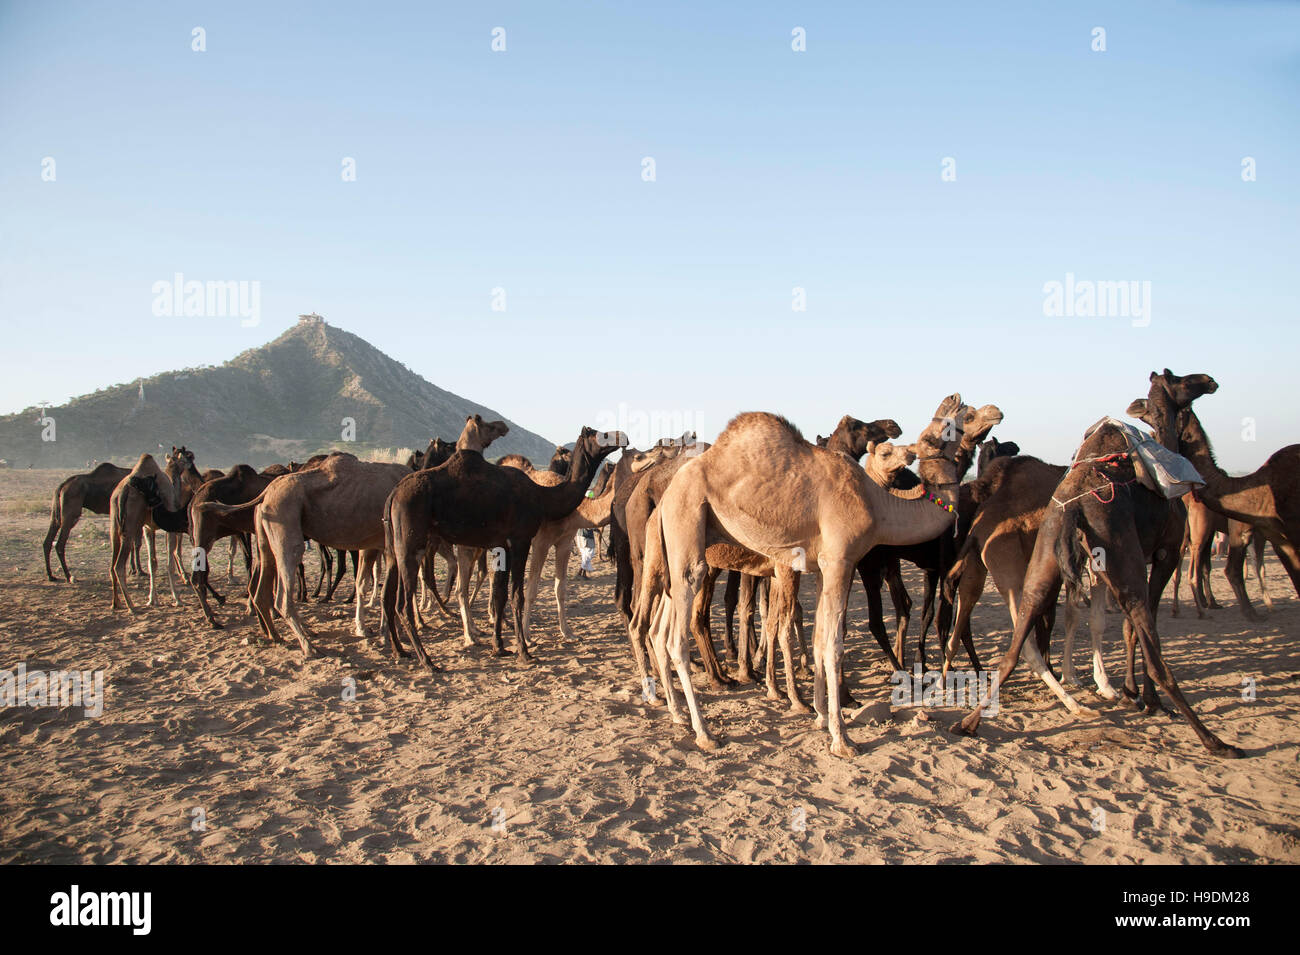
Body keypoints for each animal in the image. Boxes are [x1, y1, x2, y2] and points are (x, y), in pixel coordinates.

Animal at [380, 425, 627, 670]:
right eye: (601, 434)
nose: (623, 436)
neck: (544, 497)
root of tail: (393, 494)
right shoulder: (524, 541)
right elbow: (520, 593)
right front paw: (524, 650)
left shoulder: (512, 544)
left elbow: (503, 594)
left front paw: (500, 646)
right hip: (415, 544)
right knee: (412, 600)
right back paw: (433, 657)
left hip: (395, 548)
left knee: (391, 596)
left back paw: (402, 651)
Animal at [652, 396, 996, 756]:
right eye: (964, 417)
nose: (993, 411)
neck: (879, 505)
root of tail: (664, 498)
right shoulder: (840, 560)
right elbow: (832, 645)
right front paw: (841, 738)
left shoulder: (821, 567)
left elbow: (818, 639)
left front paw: (819, 717)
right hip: (687, 522)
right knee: (677, 635)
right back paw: (704, 732)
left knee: (660, 629)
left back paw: (678, 714)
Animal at [953, 392, 1243, 758]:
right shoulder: (1163, 554)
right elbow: (1117, 624)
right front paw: (1132, 694)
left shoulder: (1091, 568)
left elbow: (1090, 619)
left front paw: (1106, 685)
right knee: (1149, 650)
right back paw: (1211, 739)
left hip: (1029, 570)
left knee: (1010, 643)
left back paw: (971, 719)